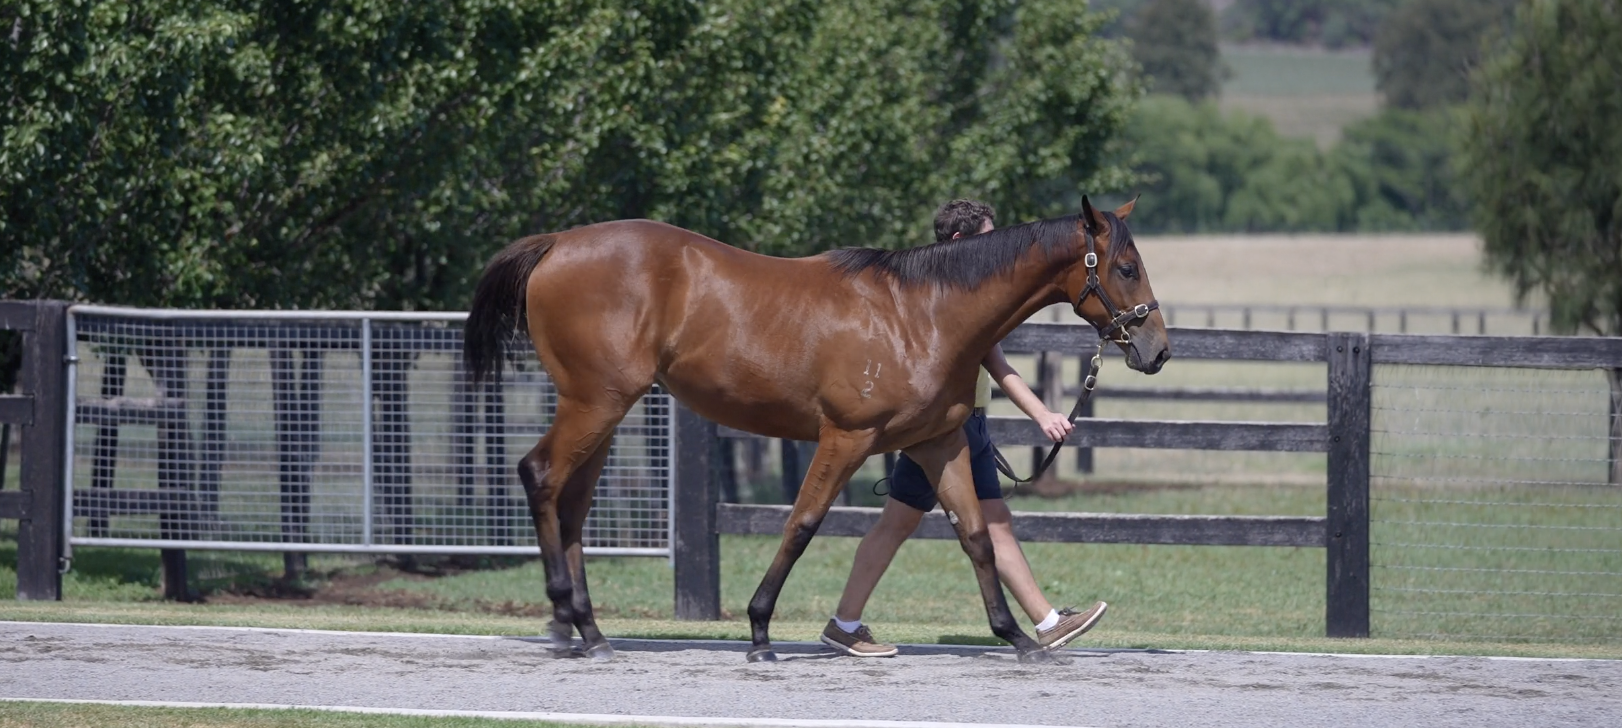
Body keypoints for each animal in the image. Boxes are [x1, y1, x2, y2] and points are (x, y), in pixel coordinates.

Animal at [462, 195, 1169, 664]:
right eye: (1126, 267)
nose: (1157, 350)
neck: (923, 315)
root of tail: (558, 243)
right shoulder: (846, 438)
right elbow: (801, 525)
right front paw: (759, 633)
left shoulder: (936, 445)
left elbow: (977, 537)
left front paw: (1019, 637)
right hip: (595, 404)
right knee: (540, 476)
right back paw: (564, 617)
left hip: (605, 410)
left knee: (572, 505)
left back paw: (589, 631)